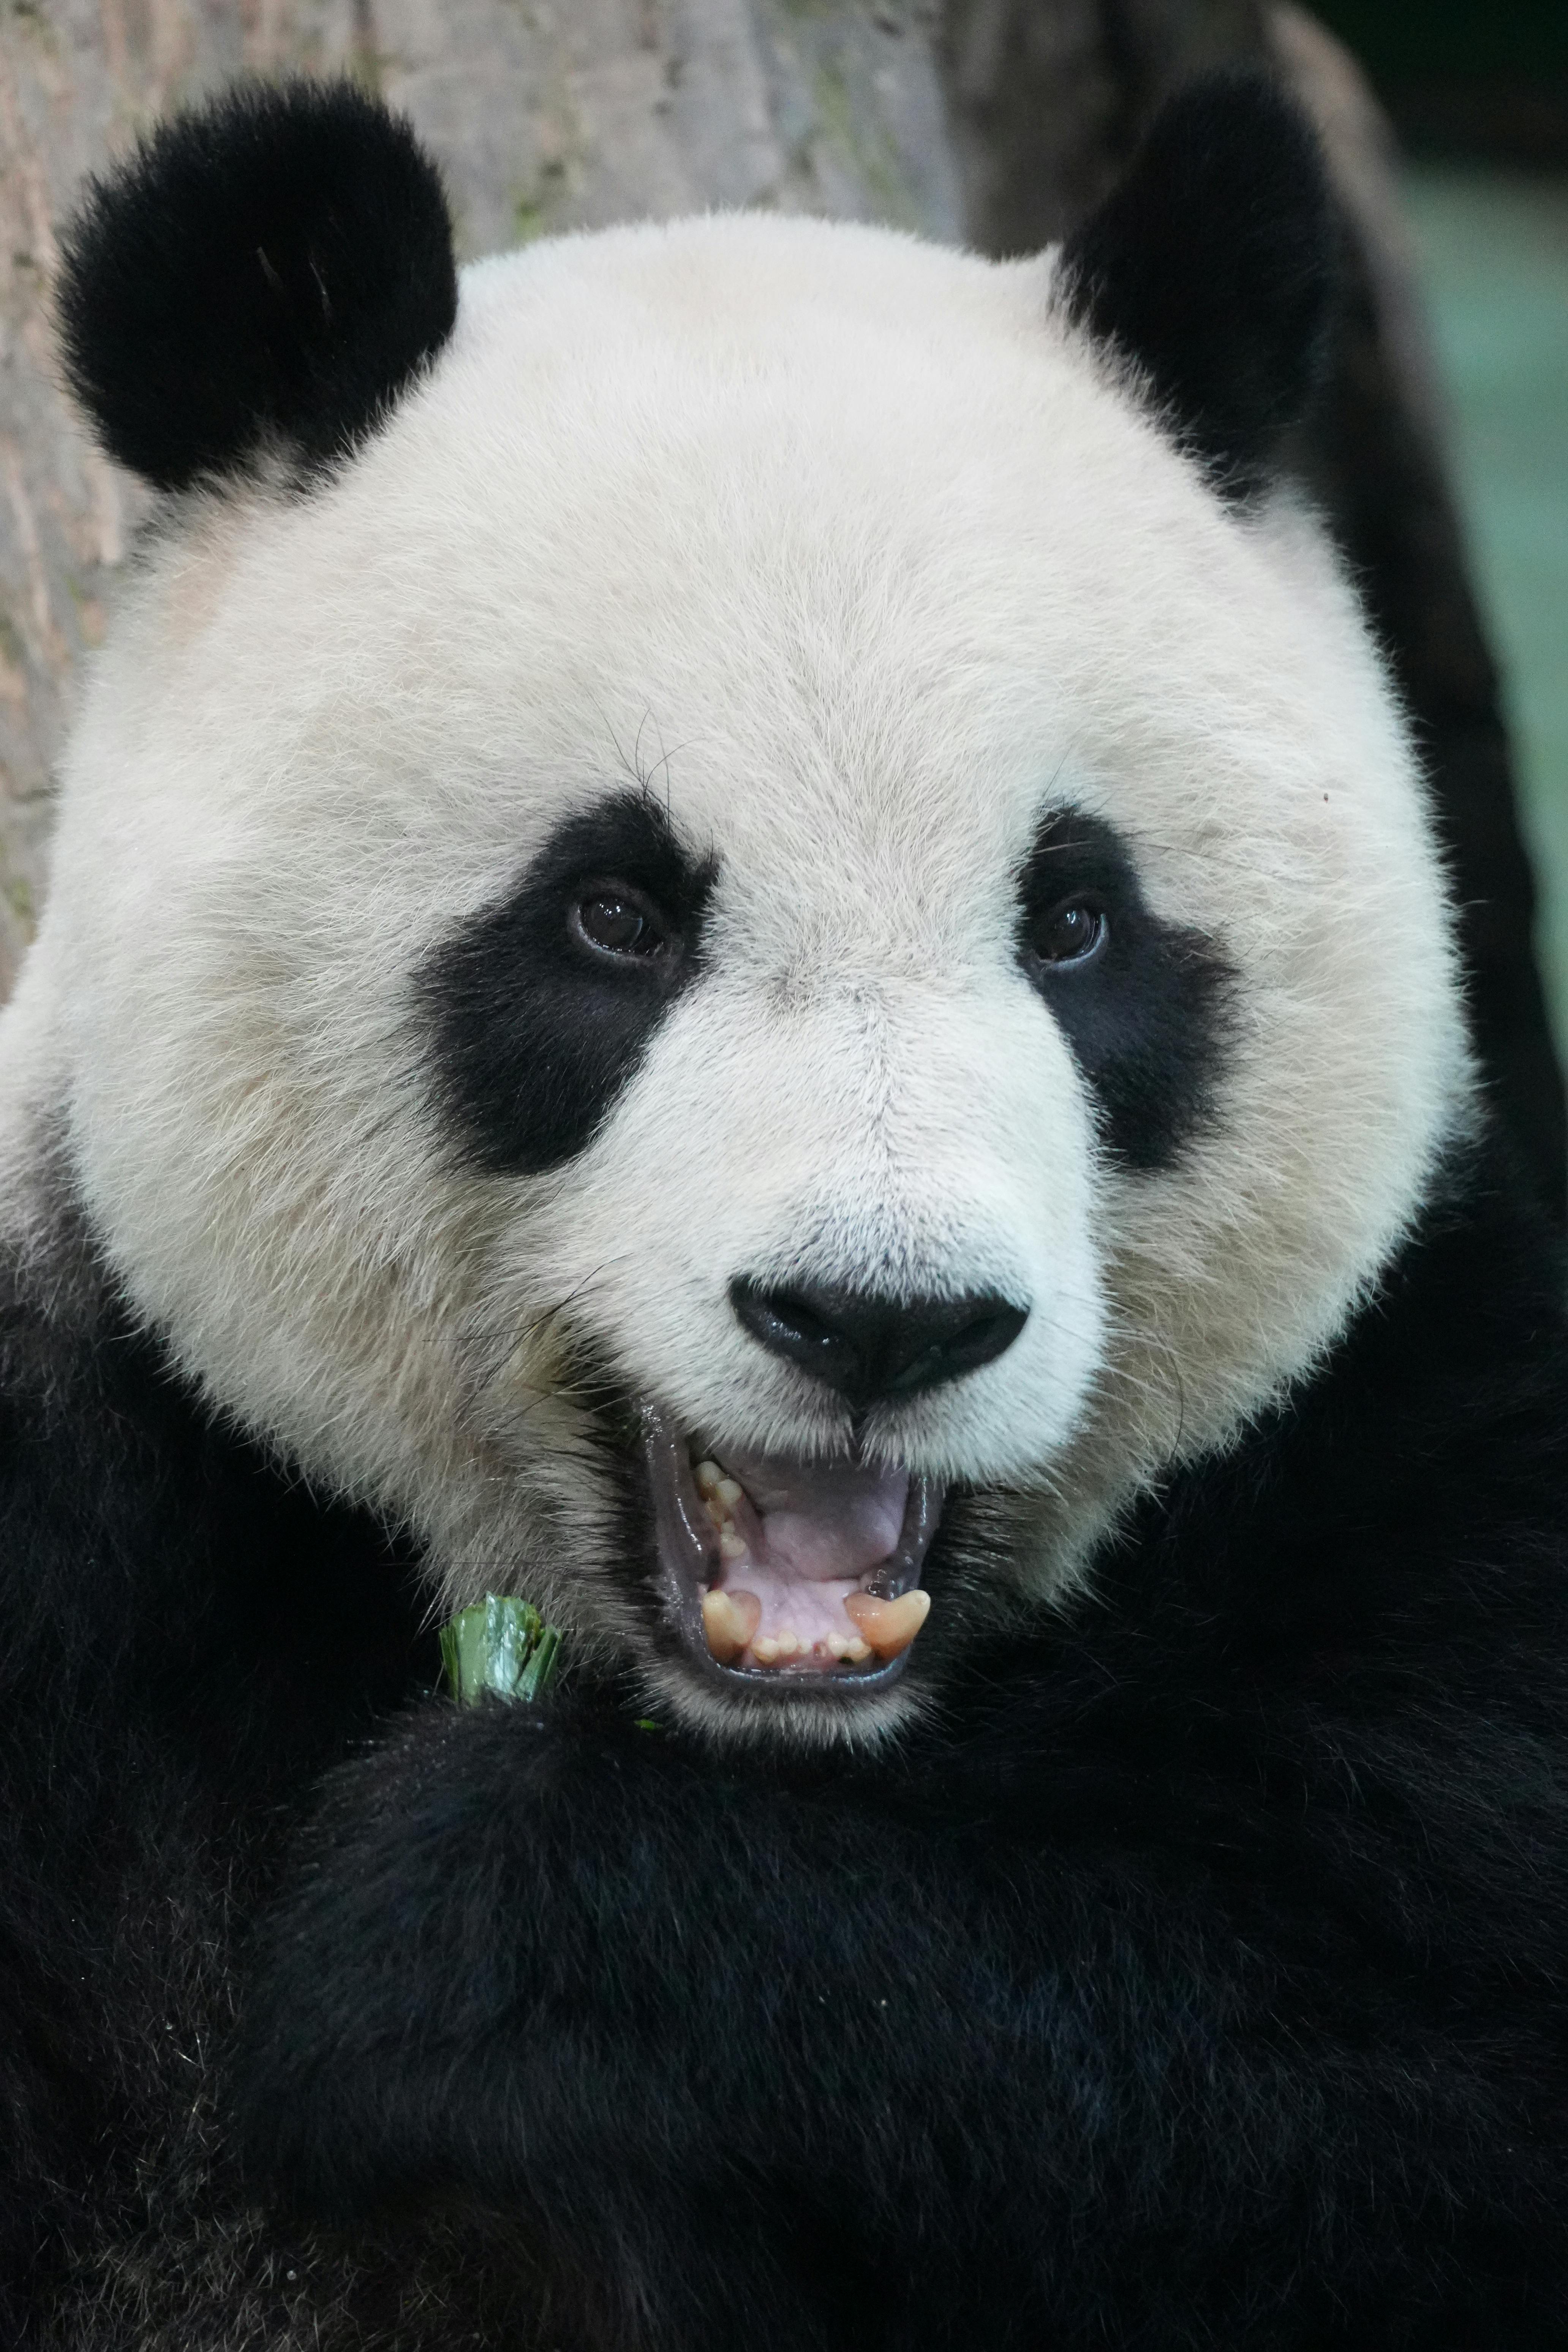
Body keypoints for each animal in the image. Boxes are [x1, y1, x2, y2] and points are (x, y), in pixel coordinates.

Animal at [2, 61, 1567, 2352]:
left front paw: (482, 1925)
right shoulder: (84, 1517)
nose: (882, 1318)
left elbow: (1386, 2074)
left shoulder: (1410, 1465)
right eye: (613, 913)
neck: (761, 1739)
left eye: (1075, 921)